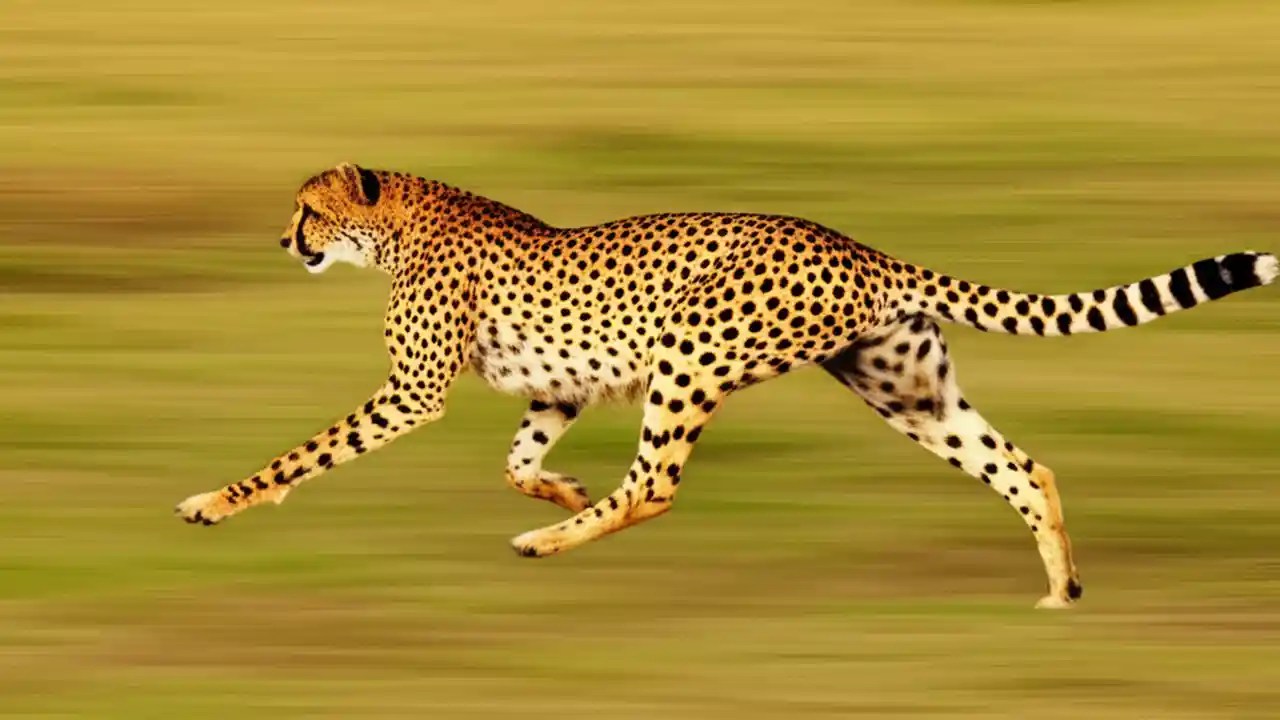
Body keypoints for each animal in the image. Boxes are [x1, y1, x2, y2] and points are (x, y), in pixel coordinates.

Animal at [175, 162, 1278, 609]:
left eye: (309, 210)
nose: (284, 242)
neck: (403, 221)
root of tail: (856, 245)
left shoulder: (412, 392)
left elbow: (307, 453)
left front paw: (217, 502)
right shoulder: (556, 391)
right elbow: (518, 458)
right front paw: (558, 489)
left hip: (690, 352)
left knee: (657, 485)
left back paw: (543, 546)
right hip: (904, 391)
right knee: (1022, 464)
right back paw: (1058, 590)